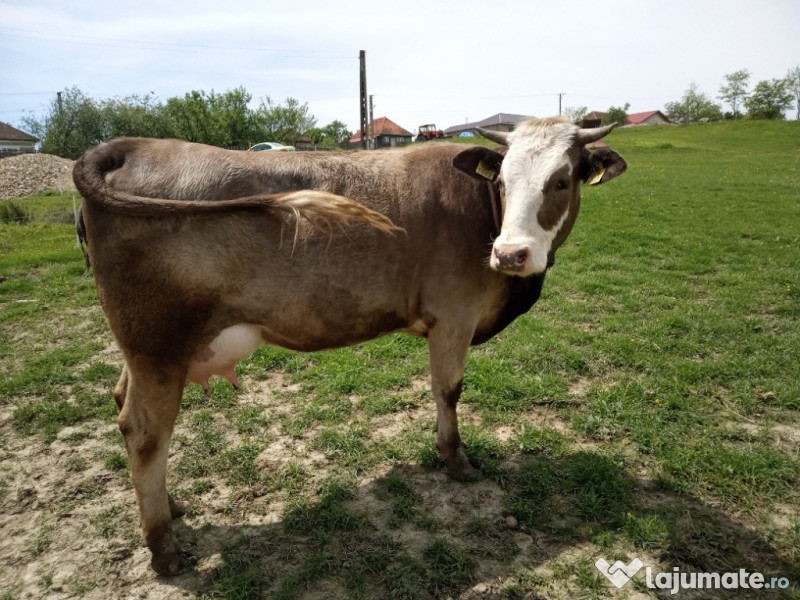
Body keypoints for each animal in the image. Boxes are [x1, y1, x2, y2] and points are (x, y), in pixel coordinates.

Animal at [73, 117, 626, 576]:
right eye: (503, 181)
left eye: (561, 180)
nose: (510, 254)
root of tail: (128, 144)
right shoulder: (454, 317)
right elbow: (448, 390)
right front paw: (457, 462)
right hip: (158, 346)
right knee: (144, 432)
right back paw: (165, 549)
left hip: (147, 351)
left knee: (122, 403)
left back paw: (171, 507)